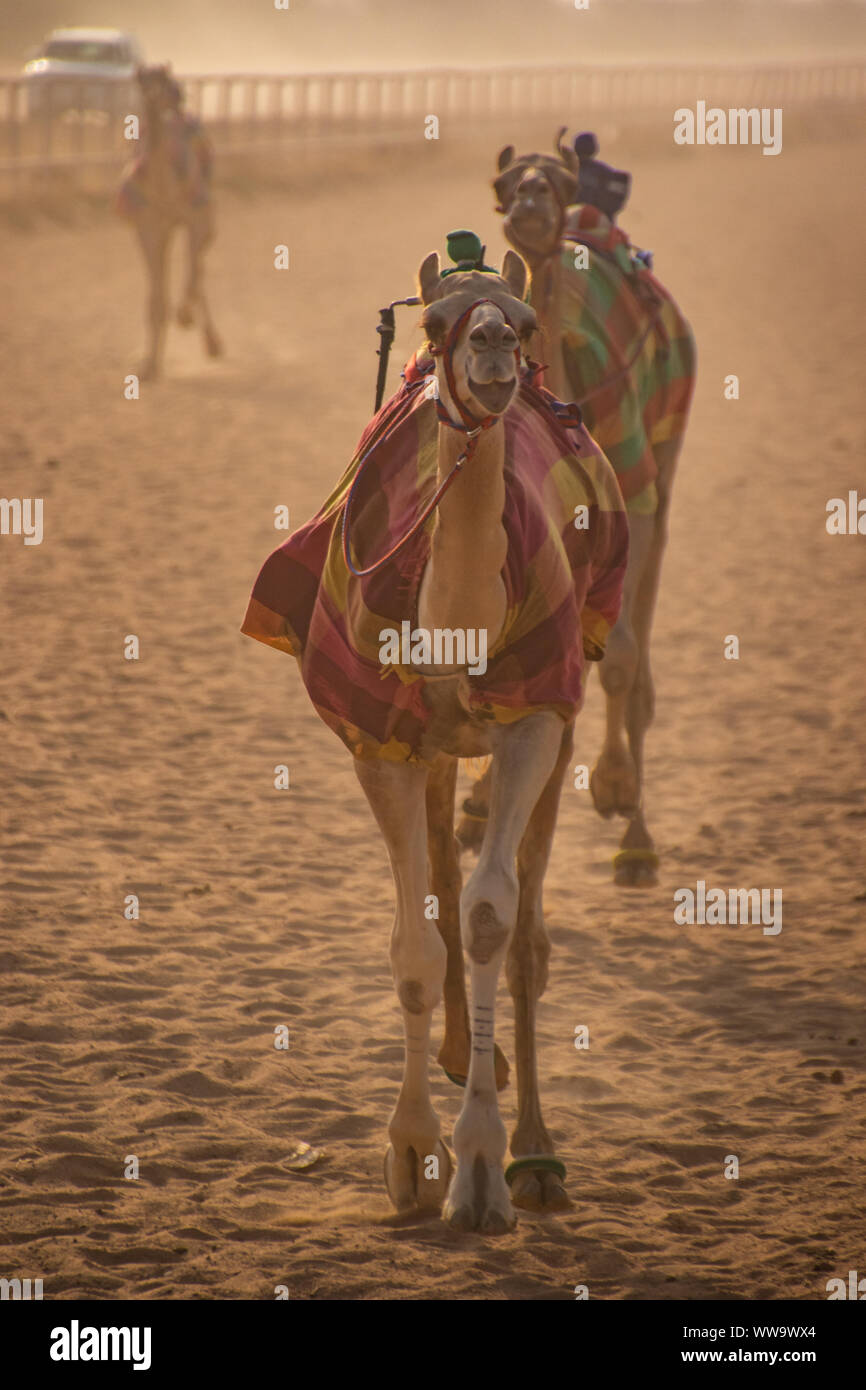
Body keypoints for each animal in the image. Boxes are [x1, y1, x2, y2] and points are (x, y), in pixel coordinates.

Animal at [116, 64, 222, 380]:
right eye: (146, 81)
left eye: (165, 77)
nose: (178, 95)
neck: (163, 188)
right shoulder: (148, 229)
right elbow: (155, 296)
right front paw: (149, 365)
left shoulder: (194, 219)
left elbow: (193, 272)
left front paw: (184, 317)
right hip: (167, 231)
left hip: (204, 216)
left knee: (199, 267)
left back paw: (211, 341)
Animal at [242, 243, 628, 1230]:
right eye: (433, 321)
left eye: (522, 323)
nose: (490, 348)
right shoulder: (379, 742)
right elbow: (416, 942)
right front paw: (414, 1156)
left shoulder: (535, 719)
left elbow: (493, 922)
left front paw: (483, 1167)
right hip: (438, 748)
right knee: (446, 887)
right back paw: (461, 1055)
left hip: (555, 716)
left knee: (522, 930)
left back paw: (536, 1151)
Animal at [457, 131, 696, 888]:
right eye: (504, 182)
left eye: (556, 182)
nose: (531, 201)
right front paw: (478, 807)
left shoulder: (632, 497)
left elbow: (618, 656)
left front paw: (617, 791)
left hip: (665, 464)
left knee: (637, 649)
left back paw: (636, 839)